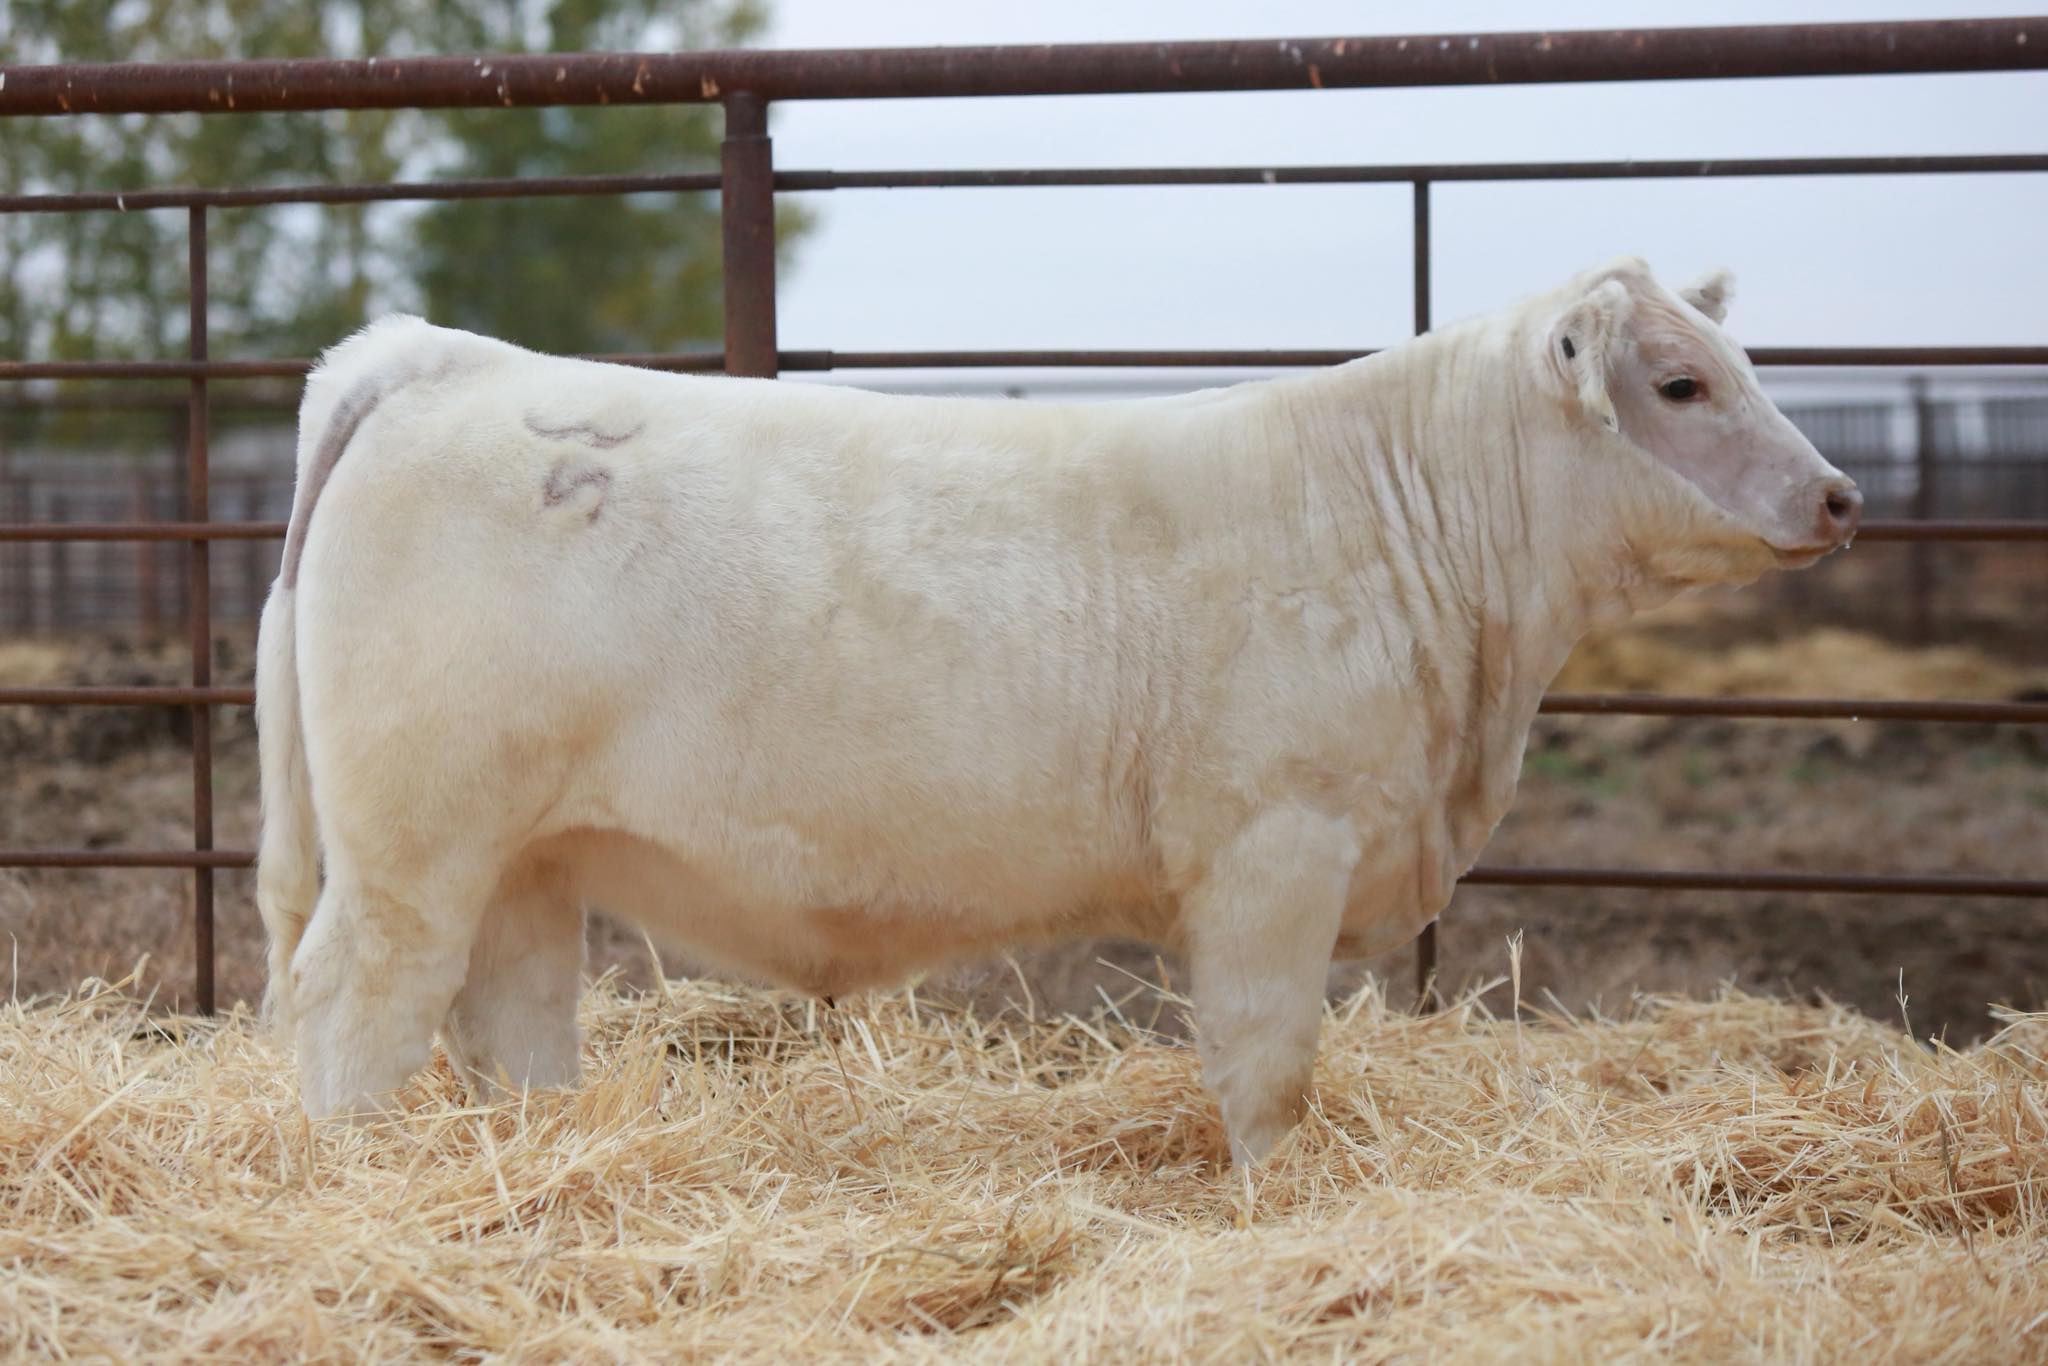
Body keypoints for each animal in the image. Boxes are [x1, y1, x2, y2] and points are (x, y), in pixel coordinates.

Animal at [255, 256, 1860, 1164]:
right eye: (1680, 382)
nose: (1841, 496)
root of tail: (443, 360)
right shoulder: (1274, 854)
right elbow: (1267, 1075)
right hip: (409, 852)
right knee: (348, 1016)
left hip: (521, 854)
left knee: (508, 1029)